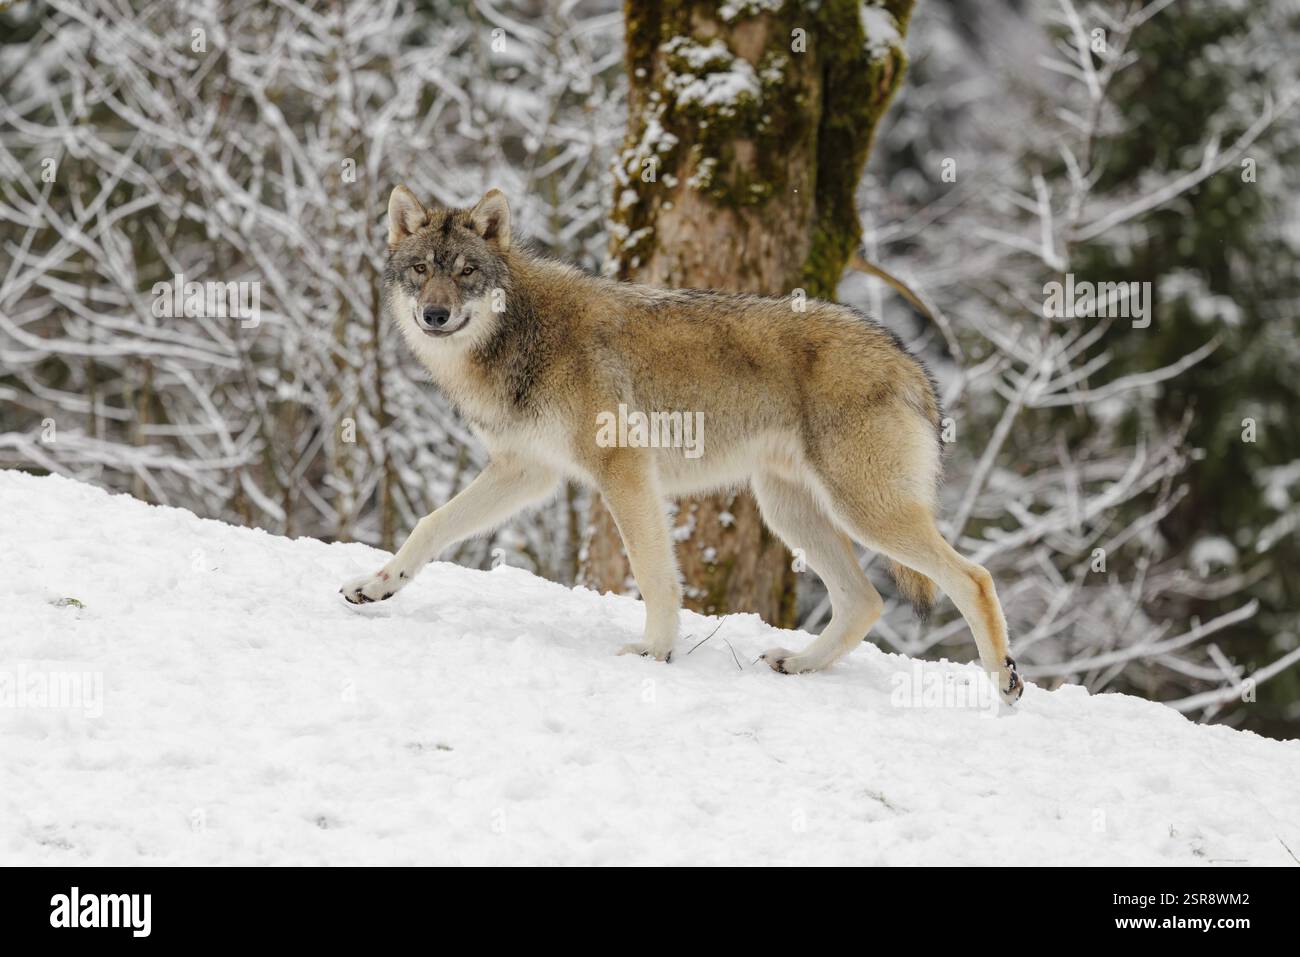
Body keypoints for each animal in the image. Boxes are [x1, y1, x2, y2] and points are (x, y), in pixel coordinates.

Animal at [341, 186, 1024, 704]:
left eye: (466, 272)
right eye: (421, 271)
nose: (434, 316)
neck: (520, 337)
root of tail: (910, 363)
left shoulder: (622, 471)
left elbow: (653, 573)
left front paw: (654, 651)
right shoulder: (527, 472)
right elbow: (430, 525)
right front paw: (377, 586)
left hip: (864, 512)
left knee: (976, 577)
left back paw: (1004, 686)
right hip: (791, 513)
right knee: (867, 601)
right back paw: (800, 665)